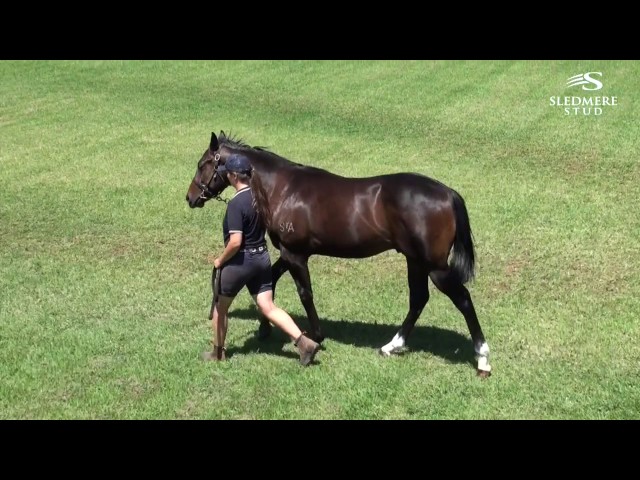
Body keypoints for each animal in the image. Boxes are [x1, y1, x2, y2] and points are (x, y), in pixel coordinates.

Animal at [186, 131, 491, 376]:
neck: (283, 188)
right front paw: (265, 328)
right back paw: (391, 346)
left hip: (435, 266)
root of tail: (448, 193)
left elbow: (305, 293)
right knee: (418, 300)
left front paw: (316, 337)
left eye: (202, 165)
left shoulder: (295, 254)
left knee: (462, 299)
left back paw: (482, 359)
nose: (190, 198)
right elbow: (269, 281)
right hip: (415, 261)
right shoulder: (289, 253)